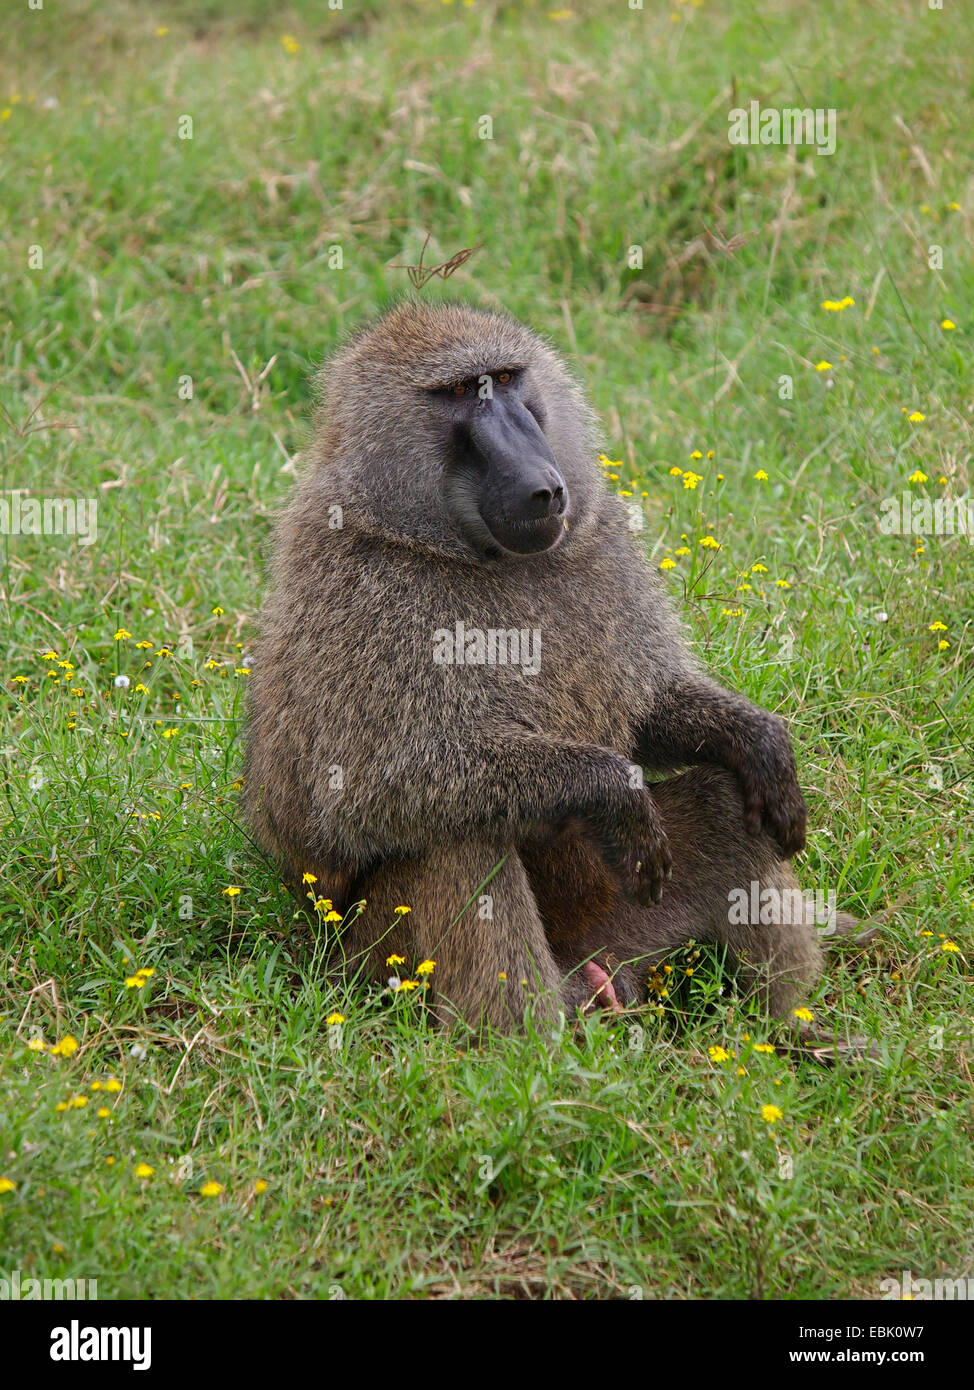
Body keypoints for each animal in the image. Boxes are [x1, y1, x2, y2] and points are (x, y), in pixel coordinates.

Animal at [244, 298, 825, 1034]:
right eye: (459, 393)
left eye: (506, 378)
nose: (543, 487)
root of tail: (591, 967)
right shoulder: (361, 597)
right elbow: (369, 792)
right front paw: (616, 792)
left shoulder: (601, 541)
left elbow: (650, 709)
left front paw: (760, 742)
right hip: (375, 960)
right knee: (458, 846)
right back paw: (533, 1051)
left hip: (620, 916)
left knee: (726, 805)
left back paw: (788, 1035)